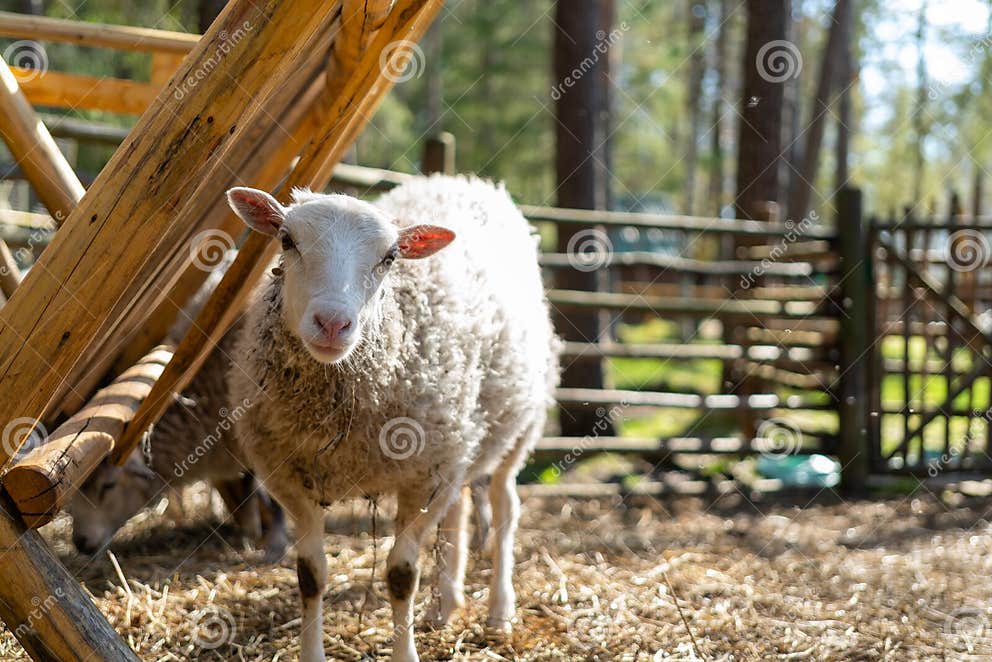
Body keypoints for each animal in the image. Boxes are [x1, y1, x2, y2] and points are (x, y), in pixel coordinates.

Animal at [225, 174, 560, 662]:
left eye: (389, 258)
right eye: (286, 240)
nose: (332, 324)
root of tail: (465, 181)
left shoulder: (423, 477)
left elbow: (401, 577)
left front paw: (406, 651)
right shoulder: (289, 478)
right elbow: (311, 574)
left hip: (516, 427)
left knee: (504, 507)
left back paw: (499, 611)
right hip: (456, 441)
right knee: (458, 505)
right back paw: (446, 604)